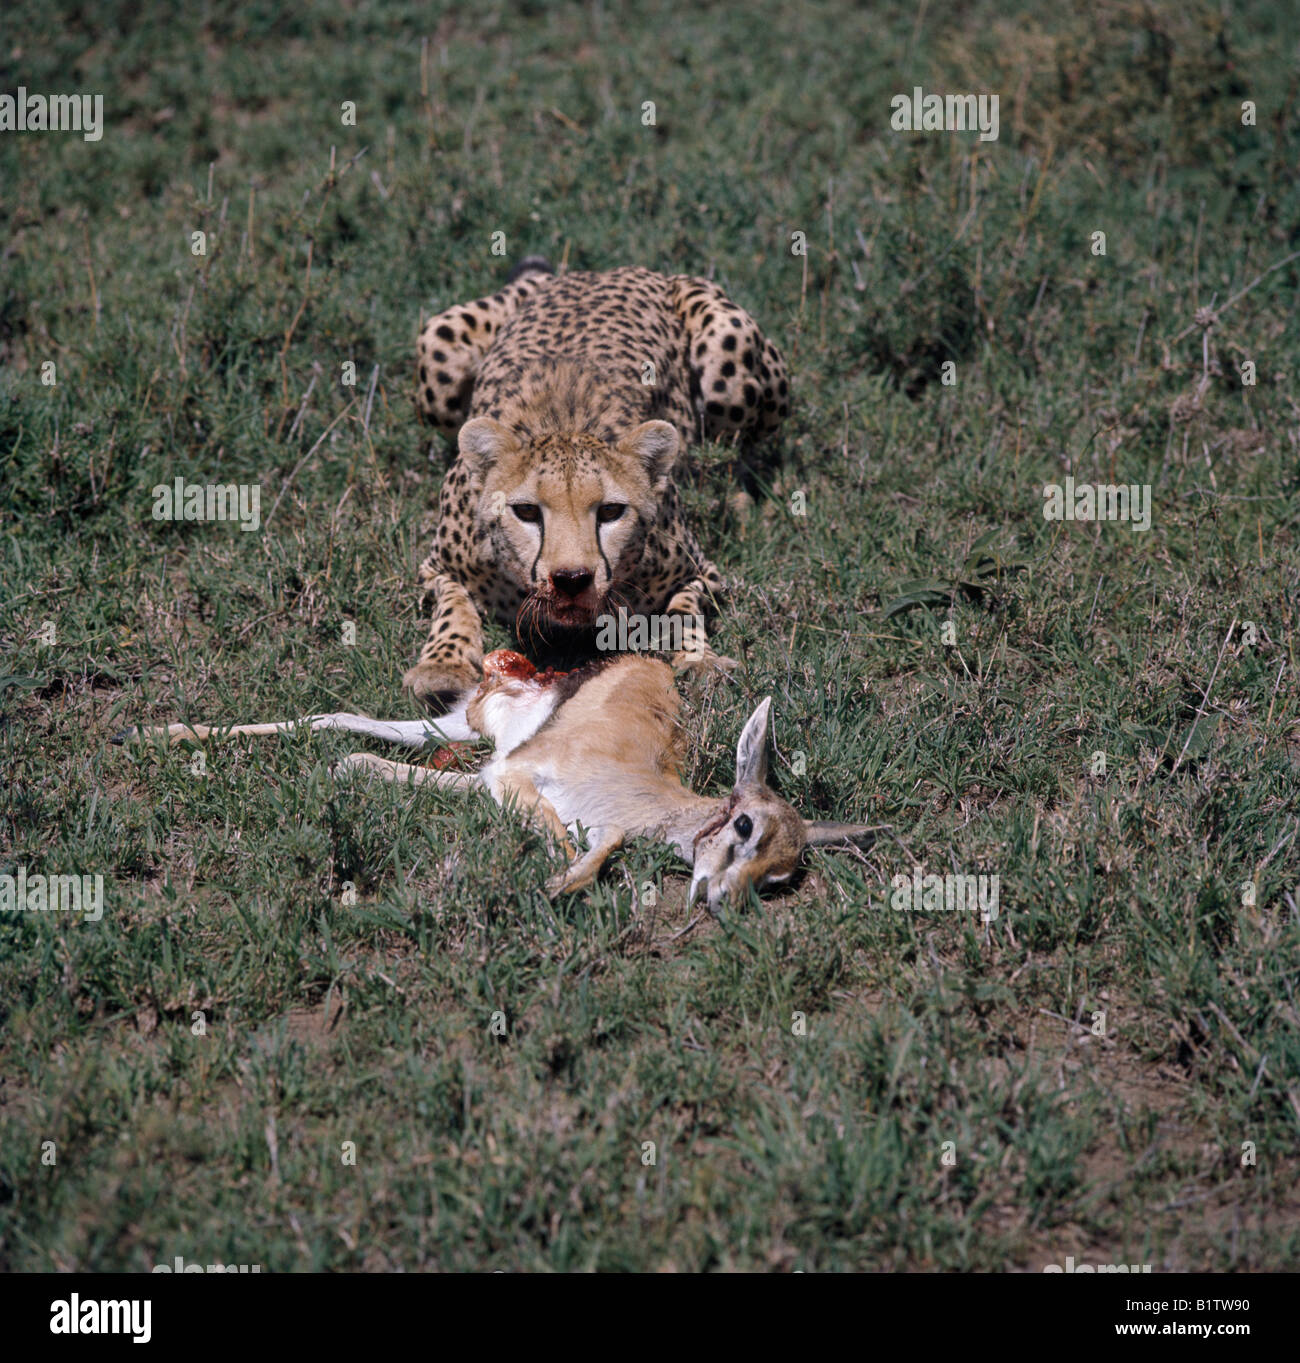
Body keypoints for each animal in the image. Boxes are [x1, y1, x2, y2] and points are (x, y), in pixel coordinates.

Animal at [115, 651, 872, 912]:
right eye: (744, 825)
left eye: (780, 876)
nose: (724, 900)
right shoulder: (511, 779)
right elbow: (564, 847)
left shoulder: (557, 807)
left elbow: (587, 858)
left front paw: (553, 888)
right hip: (481, 743)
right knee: (354, 740)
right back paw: (149, 736)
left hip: (457, 732)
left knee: (340, 718)